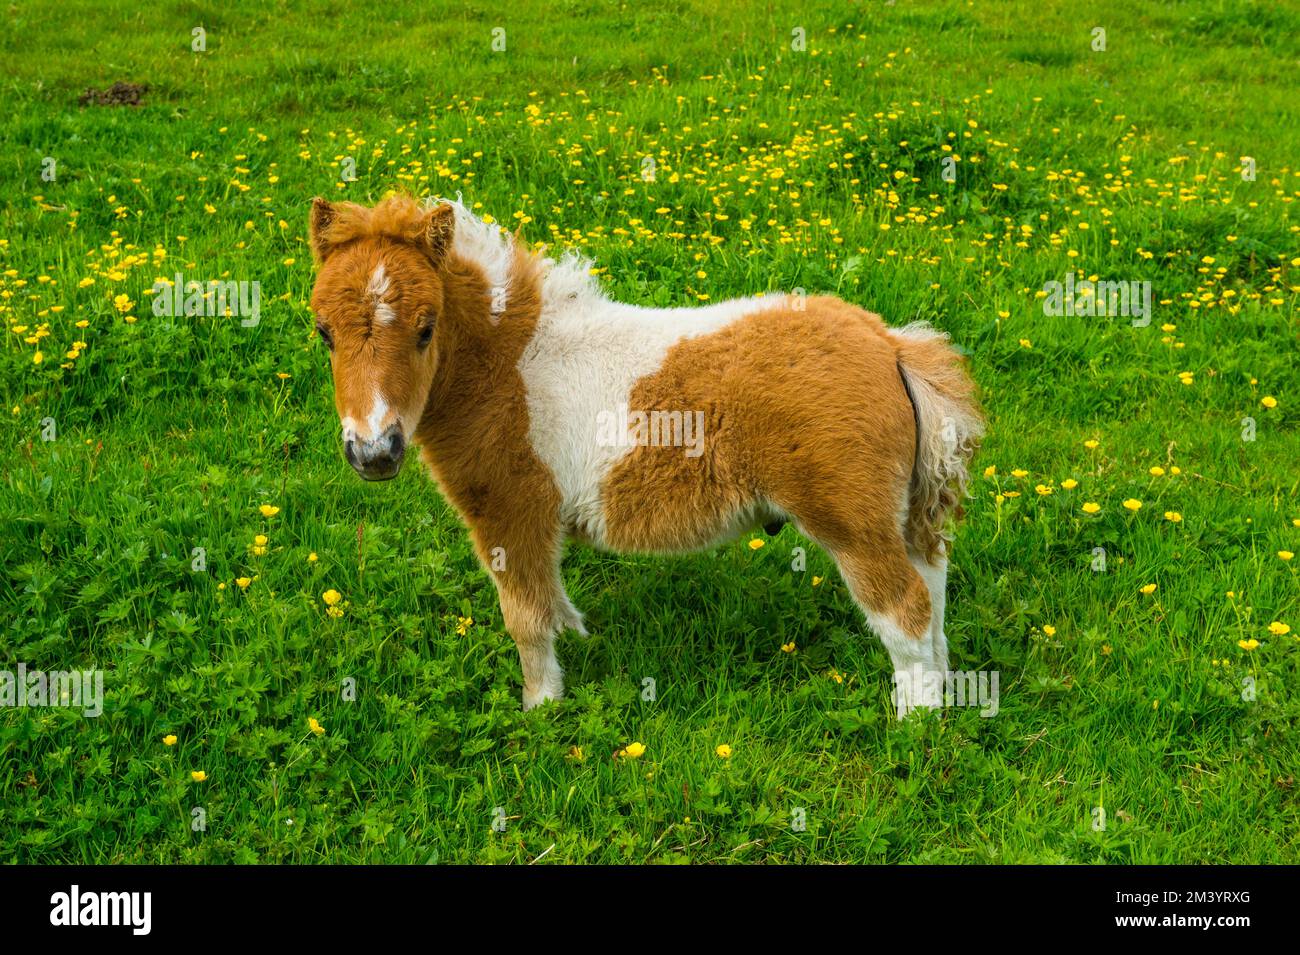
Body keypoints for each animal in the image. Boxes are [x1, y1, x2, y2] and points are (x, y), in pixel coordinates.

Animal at [307, 195, 983, 718]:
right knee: (934, 588)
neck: (508, 364)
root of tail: (889, 345)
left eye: (426, 328)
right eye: (323, 332)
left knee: (905, 609)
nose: (373, 452)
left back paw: (914, 726)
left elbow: (525, 617)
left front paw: (542, 709)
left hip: (851, 522)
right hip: (900, 515)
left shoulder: (510, 512)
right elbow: (552, 602)